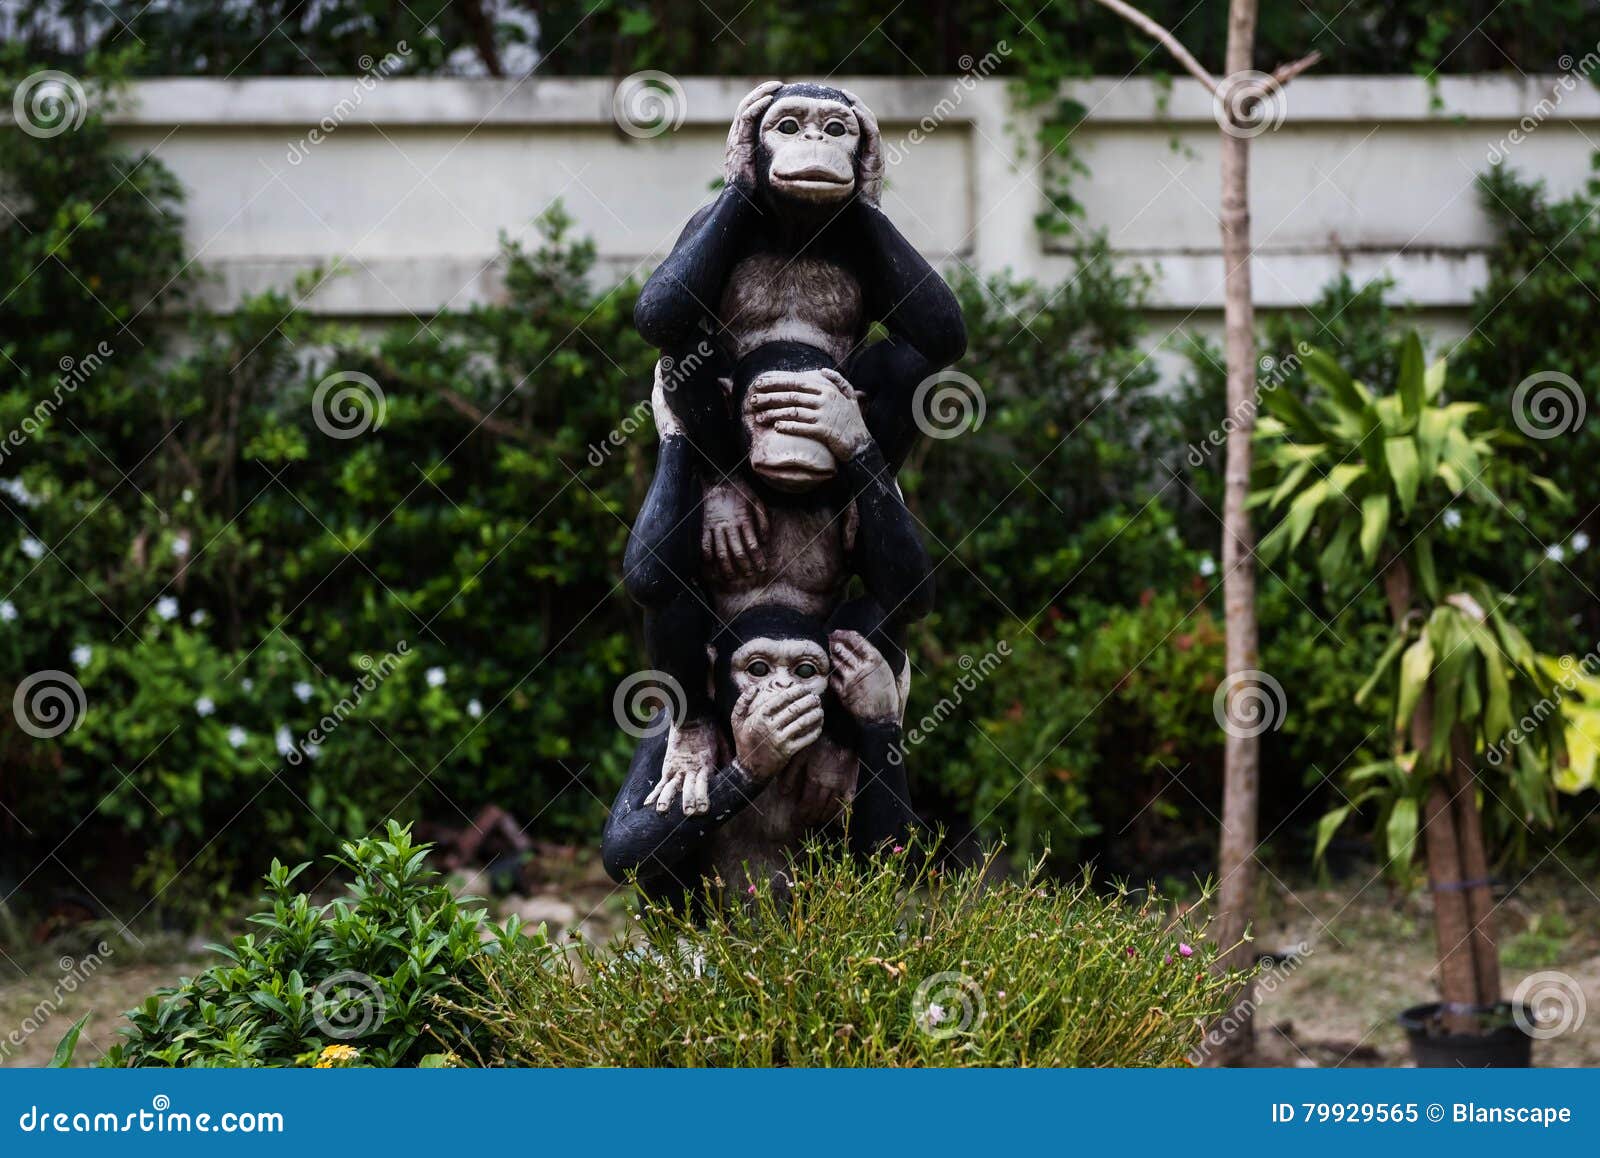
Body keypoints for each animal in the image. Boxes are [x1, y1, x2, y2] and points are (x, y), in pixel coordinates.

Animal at [600, 602, 916, 913]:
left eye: (804, 671)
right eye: (760, 668)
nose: (782, 686)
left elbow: (893, 856)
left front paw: (870, 687)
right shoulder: (661, 734)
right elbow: (622, 843)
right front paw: (760, 744)